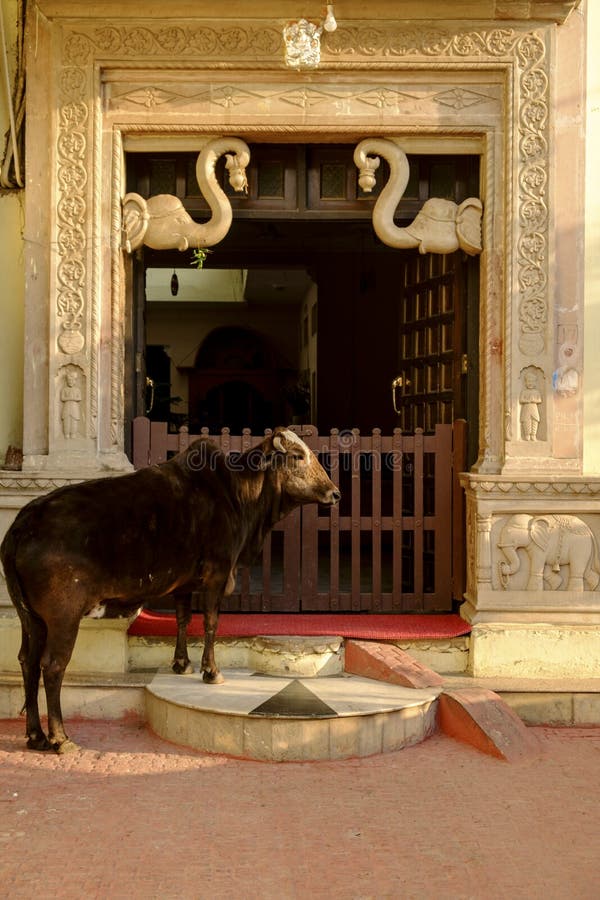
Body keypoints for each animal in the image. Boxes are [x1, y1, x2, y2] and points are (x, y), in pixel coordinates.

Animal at [0, 427, 340, 753]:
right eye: (297, 456)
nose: (335, 492)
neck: (236, 493)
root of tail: (23, 522)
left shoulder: (184, 584)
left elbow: (182, 620)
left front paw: (181, 664)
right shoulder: (217, 575)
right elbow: (210, 623)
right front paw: (210, 671)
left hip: (31, 618)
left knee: (28, 661)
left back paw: (36, 735)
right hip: (63, 617)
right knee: (52, 666)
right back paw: (60, 737)